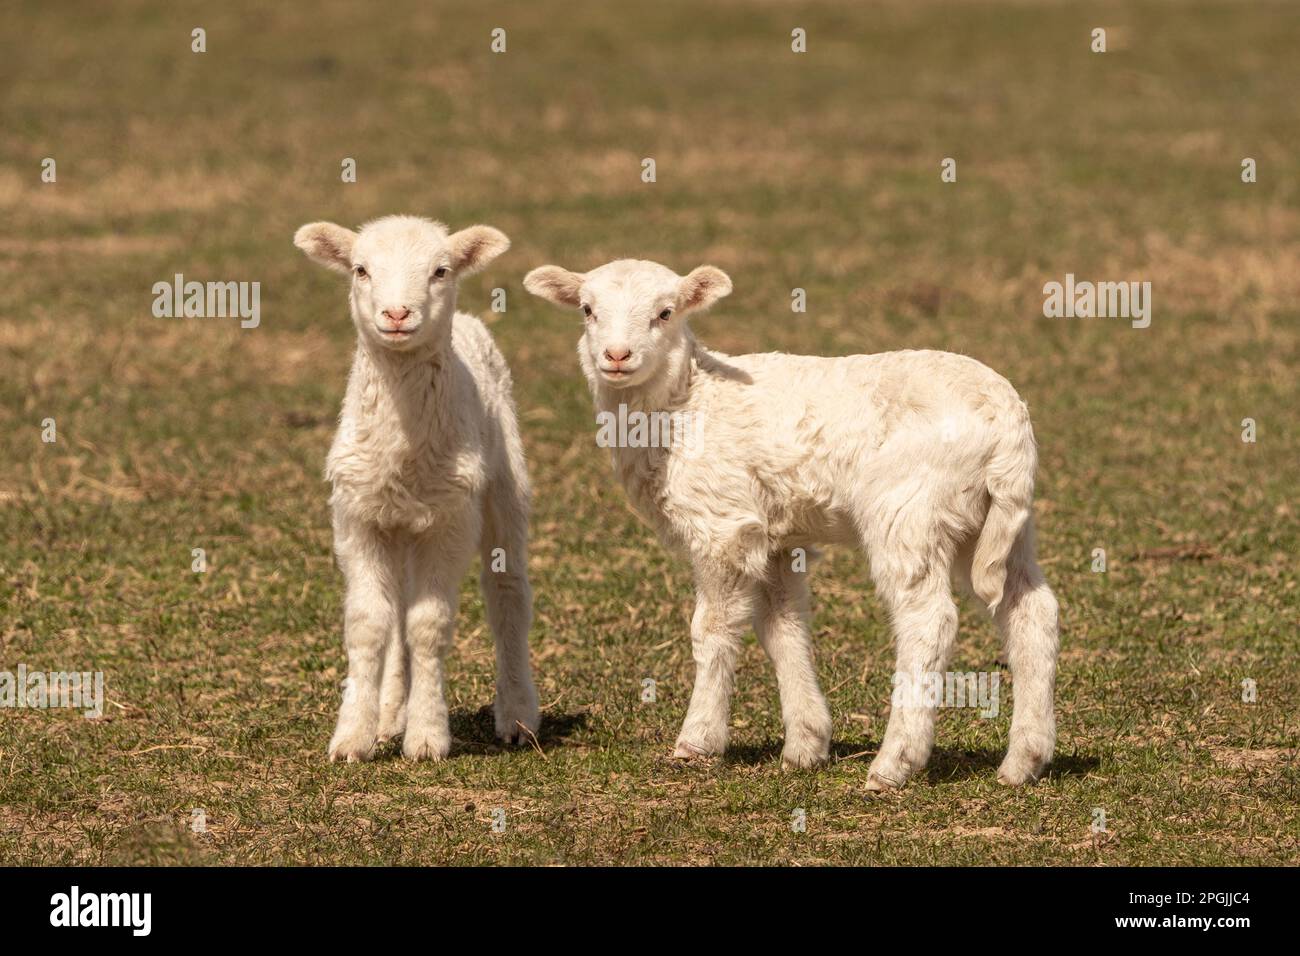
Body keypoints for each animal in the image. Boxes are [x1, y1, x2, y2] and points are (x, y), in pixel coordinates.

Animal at [295, 215, 539, 762]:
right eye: (360, 269)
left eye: (440, 270)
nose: (397, 313)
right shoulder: (359, 517)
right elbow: (370, 623)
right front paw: (354, 737)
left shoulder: (449, 520)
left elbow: (428, 625)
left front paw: (427, 737)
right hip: (401, 525)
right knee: (398, 610)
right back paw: (390, 715)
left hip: (502, 483)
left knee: (507, 594)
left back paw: (517, 715)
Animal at [524, 258, 1059, 788]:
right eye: (587, 310)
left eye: (665, 312)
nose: (616, 355)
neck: (685, 404)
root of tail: (1009, 423)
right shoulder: (774, 537)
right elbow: (782, 629)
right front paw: (805, 745)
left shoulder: (724, 526)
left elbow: (712, 629)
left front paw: (697, 743)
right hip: (992, 524)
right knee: (1032, 611)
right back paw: (1023, 761)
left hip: (910, 509)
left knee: (929, 621)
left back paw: (893, 765)